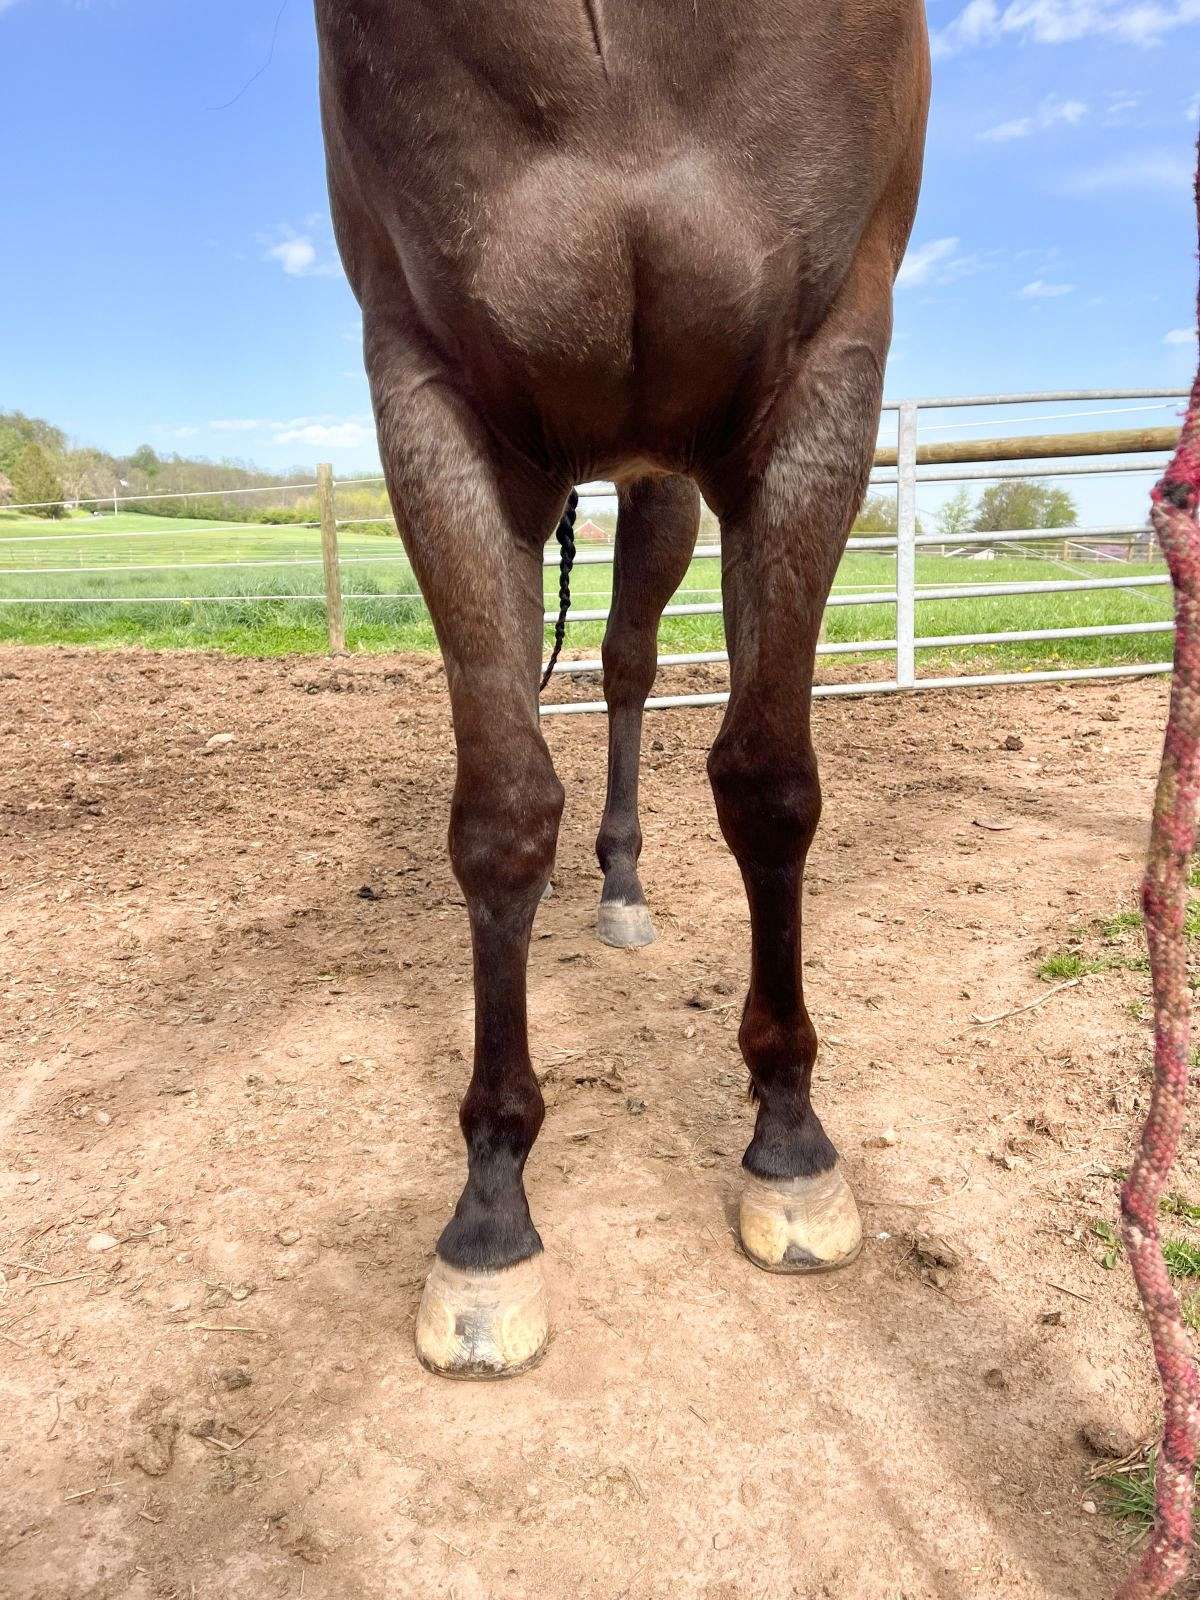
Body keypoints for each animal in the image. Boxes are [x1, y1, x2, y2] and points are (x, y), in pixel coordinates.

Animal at [314, 0, 931, 1378]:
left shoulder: (825, 374)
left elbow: (769, 787)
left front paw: (791, 1147)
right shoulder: (431, 396)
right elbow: (501, 818)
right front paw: (490, 1216)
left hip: (665, 485)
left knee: (631, 668)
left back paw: (629, 888)